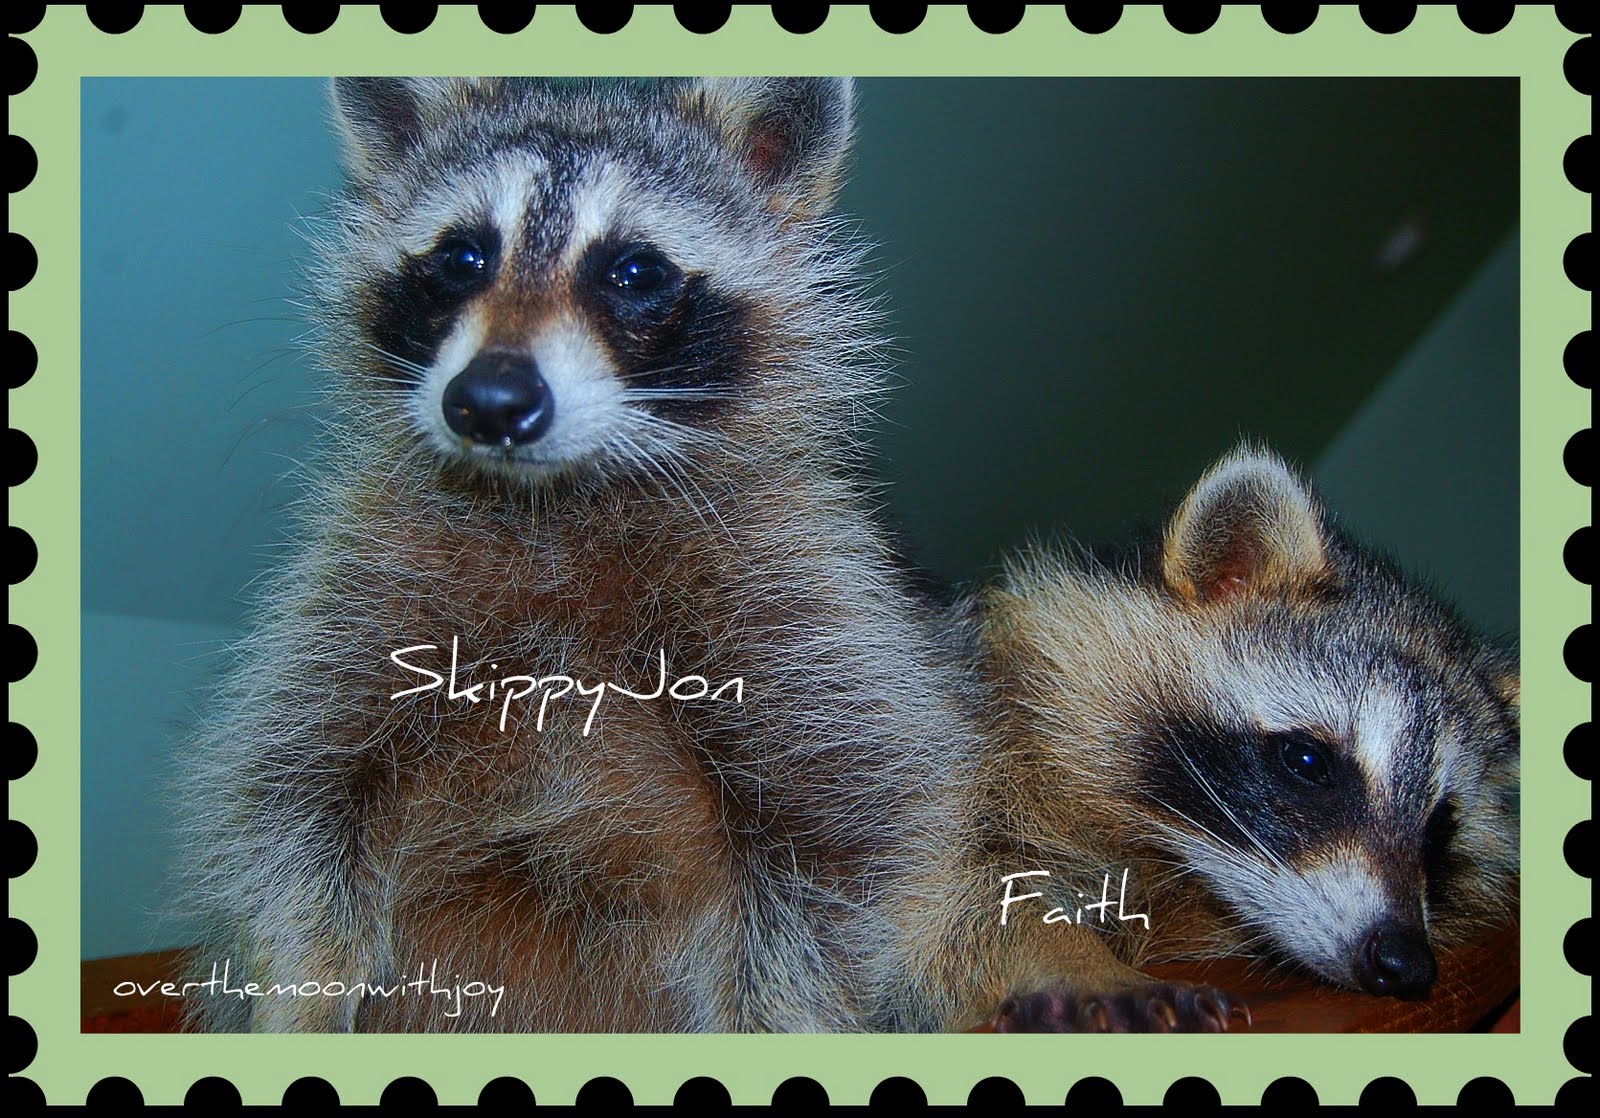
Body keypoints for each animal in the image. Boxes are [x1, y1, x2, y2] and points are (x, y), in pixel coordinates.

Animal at [177, 77, 983, 1032]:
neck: (554, 499)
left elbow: (838, 845)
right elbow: (285, 808)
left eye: (634, 271)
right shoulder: (353, 594)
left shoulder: (812, 610)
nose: (489, 401)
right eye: (462, 257)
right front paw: (301, 999)